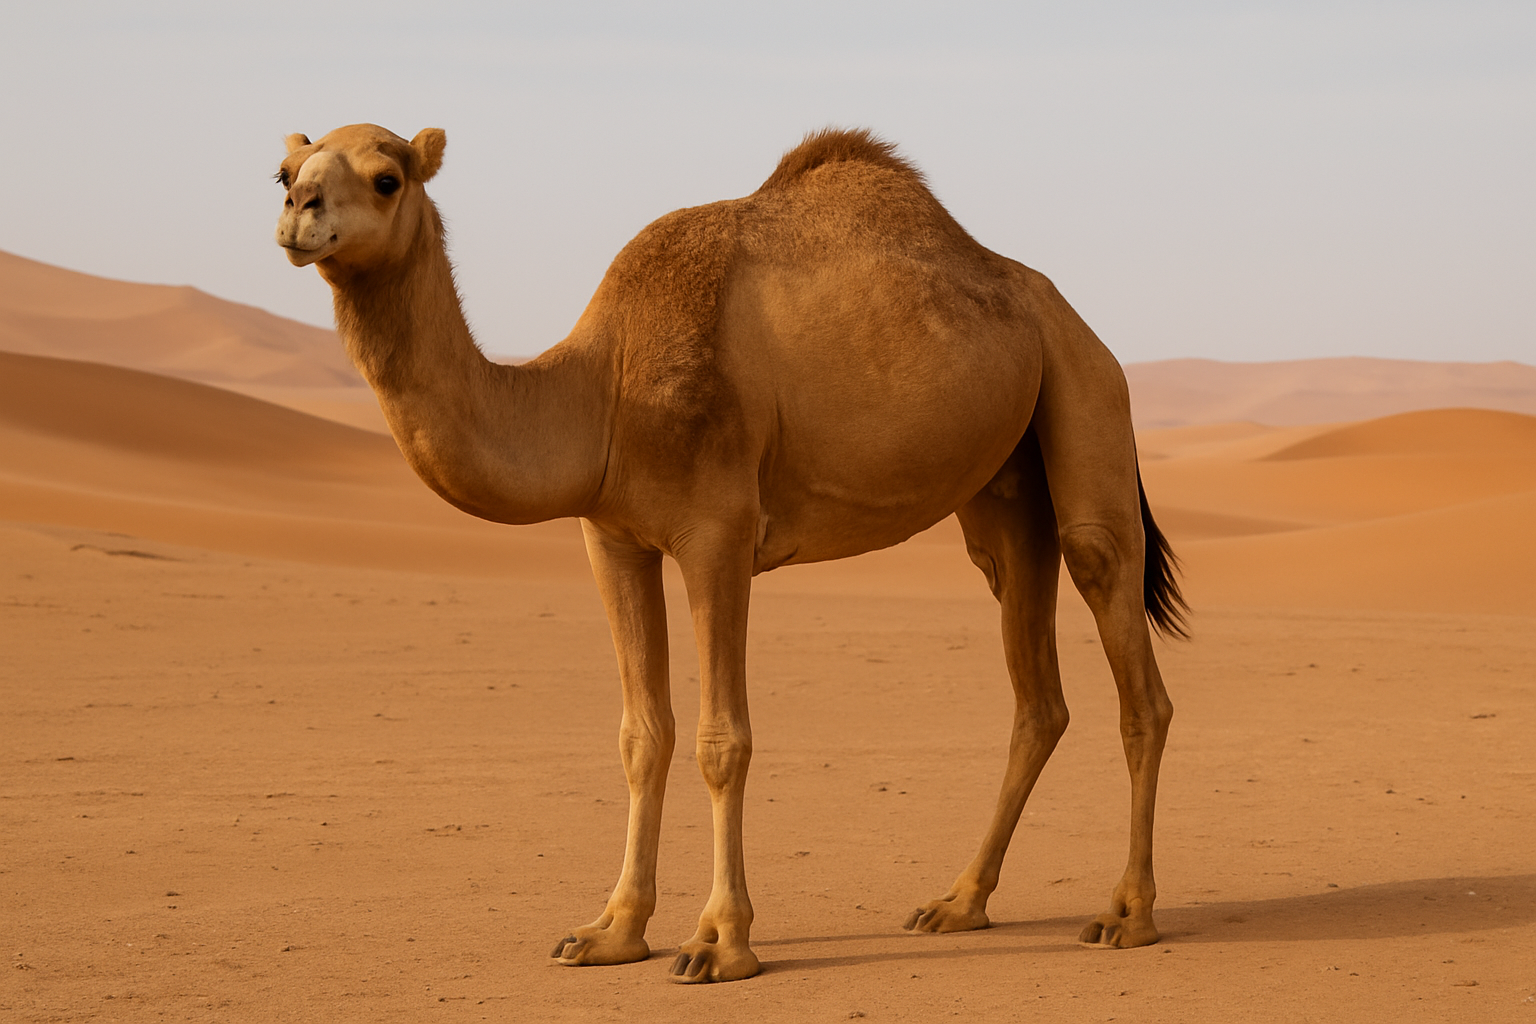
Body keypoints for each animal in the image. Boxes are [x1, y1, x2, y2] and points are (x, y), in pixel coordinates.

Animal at [273, 124, 1185, 983]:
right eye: (286, 170)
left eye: (386, 178)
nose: (296, 212)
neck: (604, 388)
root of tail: (1070, 316)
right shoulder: (612, 540)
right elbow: (643, 735)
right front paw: (611, 932)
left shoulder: (717, 533)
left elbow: (721, 740)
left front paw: (719, 942)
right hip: (1004, 494)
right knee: (1036, 688)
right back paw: (958, 903)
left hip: (1086, 393)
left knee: (1126, 641)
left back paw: (1126, 914)